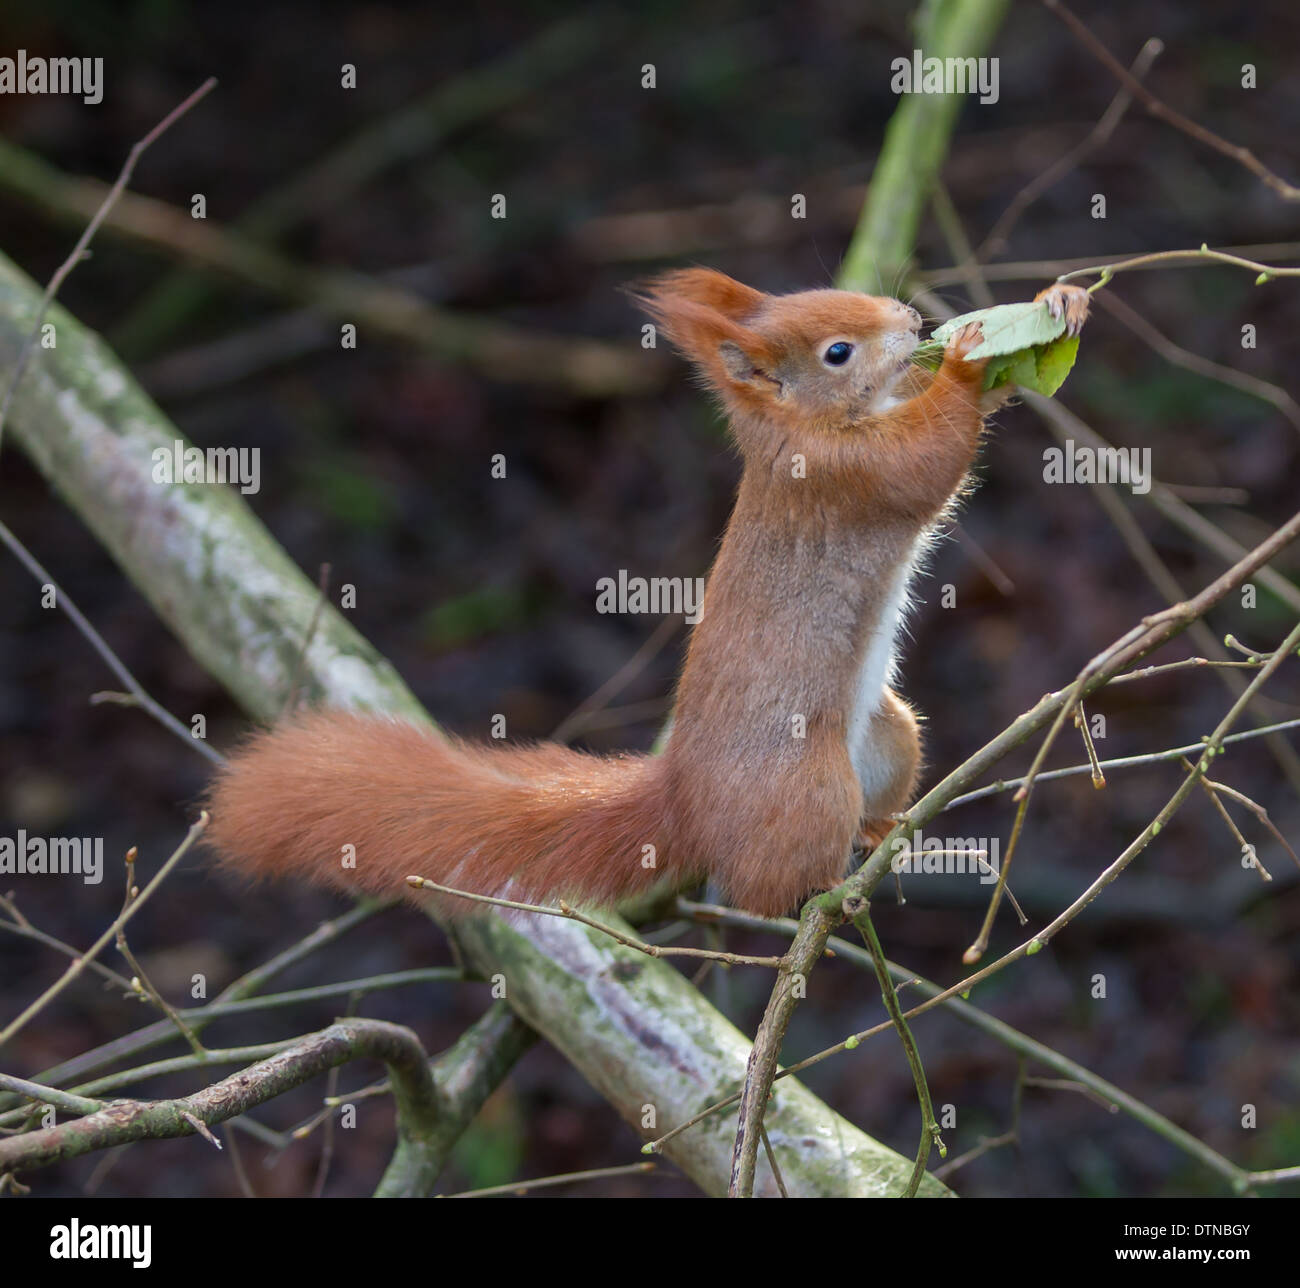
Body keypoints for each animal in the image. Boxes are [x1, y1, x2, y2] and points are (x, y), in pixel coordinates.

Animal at [204, 269, 1088, 919]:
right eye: (837, 351)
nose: (910, 320)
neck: (797, 430)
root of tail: (687, 800)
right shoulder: (845, 476)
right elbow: (928, 460)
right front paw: (971, 358)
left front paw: (1057, 305)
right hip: (803, 788)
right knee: (760, 892)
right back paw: (823, 895)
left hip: (888, 734)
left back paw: (882, 834)